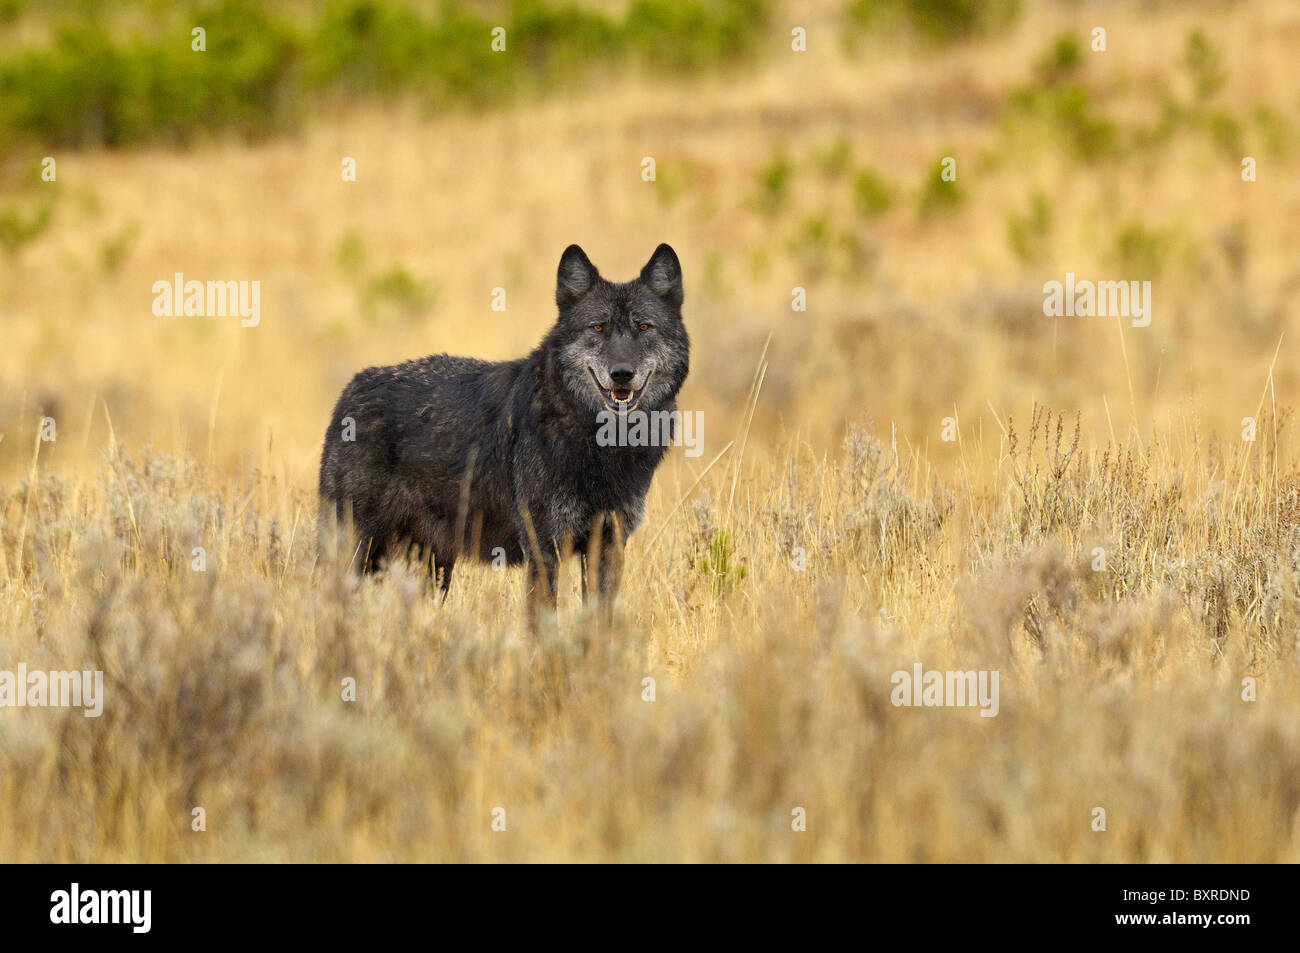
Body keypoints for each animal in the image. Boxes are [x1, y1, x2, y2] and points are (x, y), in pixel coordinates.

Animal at [318, 243, 689, 623]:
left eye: (643, 327)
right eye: (598, 327)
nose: (621, 374)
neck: (602, 447)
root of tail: (352, 388)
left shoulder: (609, 545)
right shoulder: (543, 545)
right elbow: (543, 622)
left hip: (433, 566)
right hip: (358, 550)